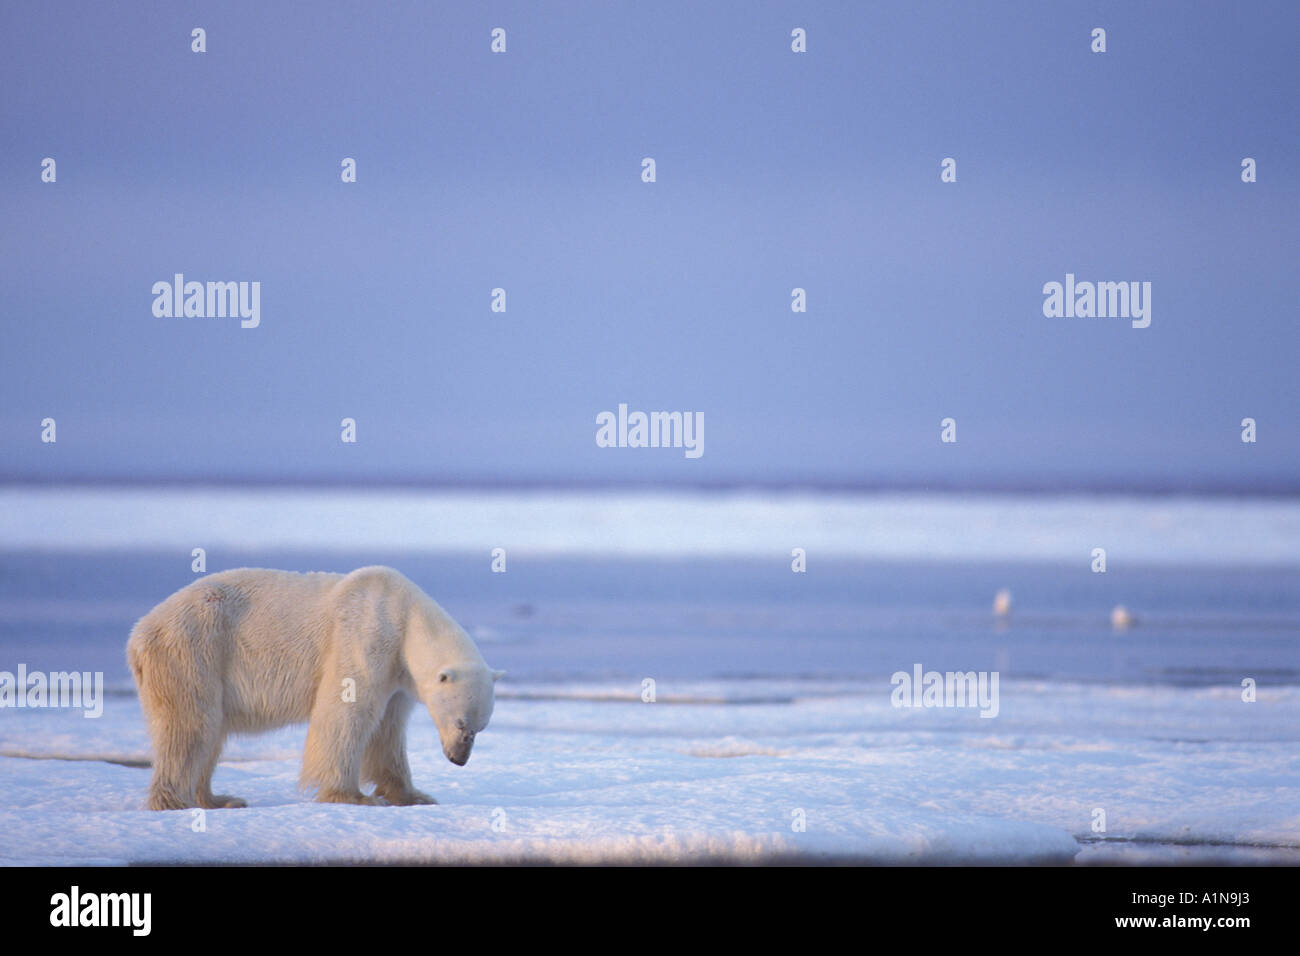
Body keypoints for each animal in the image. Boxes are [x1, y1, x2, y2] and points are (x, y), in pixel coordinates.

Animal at [125, 566, 502, 810]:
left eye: (481, 727)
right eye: (461, 723)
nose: (459, 759)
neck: (404, 615)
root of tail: (139, 634)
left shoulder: (397, 674)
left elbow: (388, 731)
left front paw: (414, 795)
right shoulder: (365, 636)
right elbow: (345, 712)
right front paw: (353, 796)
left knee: (209, 732)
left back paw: (220, 799)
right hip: (193, 650)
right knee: (191, 726)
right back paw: (175, 802)